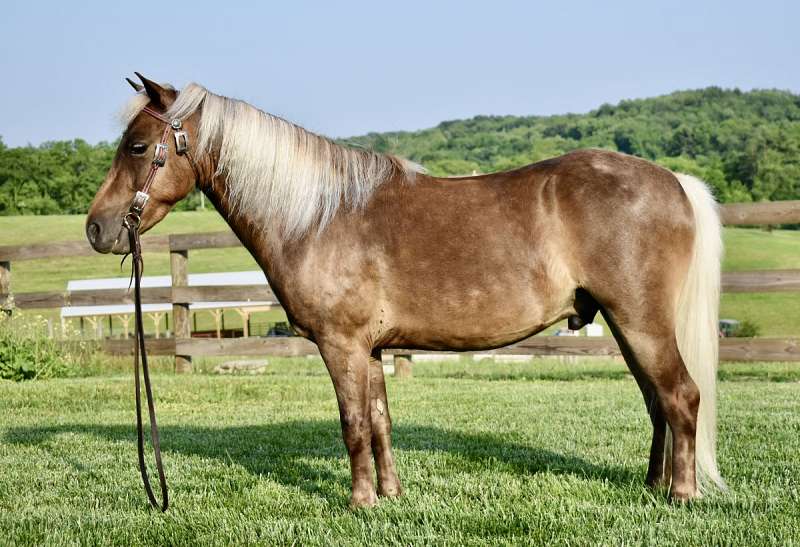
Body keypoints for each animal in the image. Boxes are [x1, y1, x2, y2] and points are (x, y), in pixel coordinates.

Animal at [86, 73, 725, 507]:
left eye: (137, 147)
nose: (97, 228)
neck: (319, 216)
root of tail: (673, 180)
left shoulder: (340, 345)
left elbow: (352, 424)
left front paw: (359, 503)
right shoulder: (369, 349)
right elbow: (380, 420)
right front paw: (390, 497)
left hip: (640, 321)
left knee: (681, 396)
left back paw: (681, 496)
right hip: (625, 324)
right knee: (657, 402)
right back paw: (652, 487)